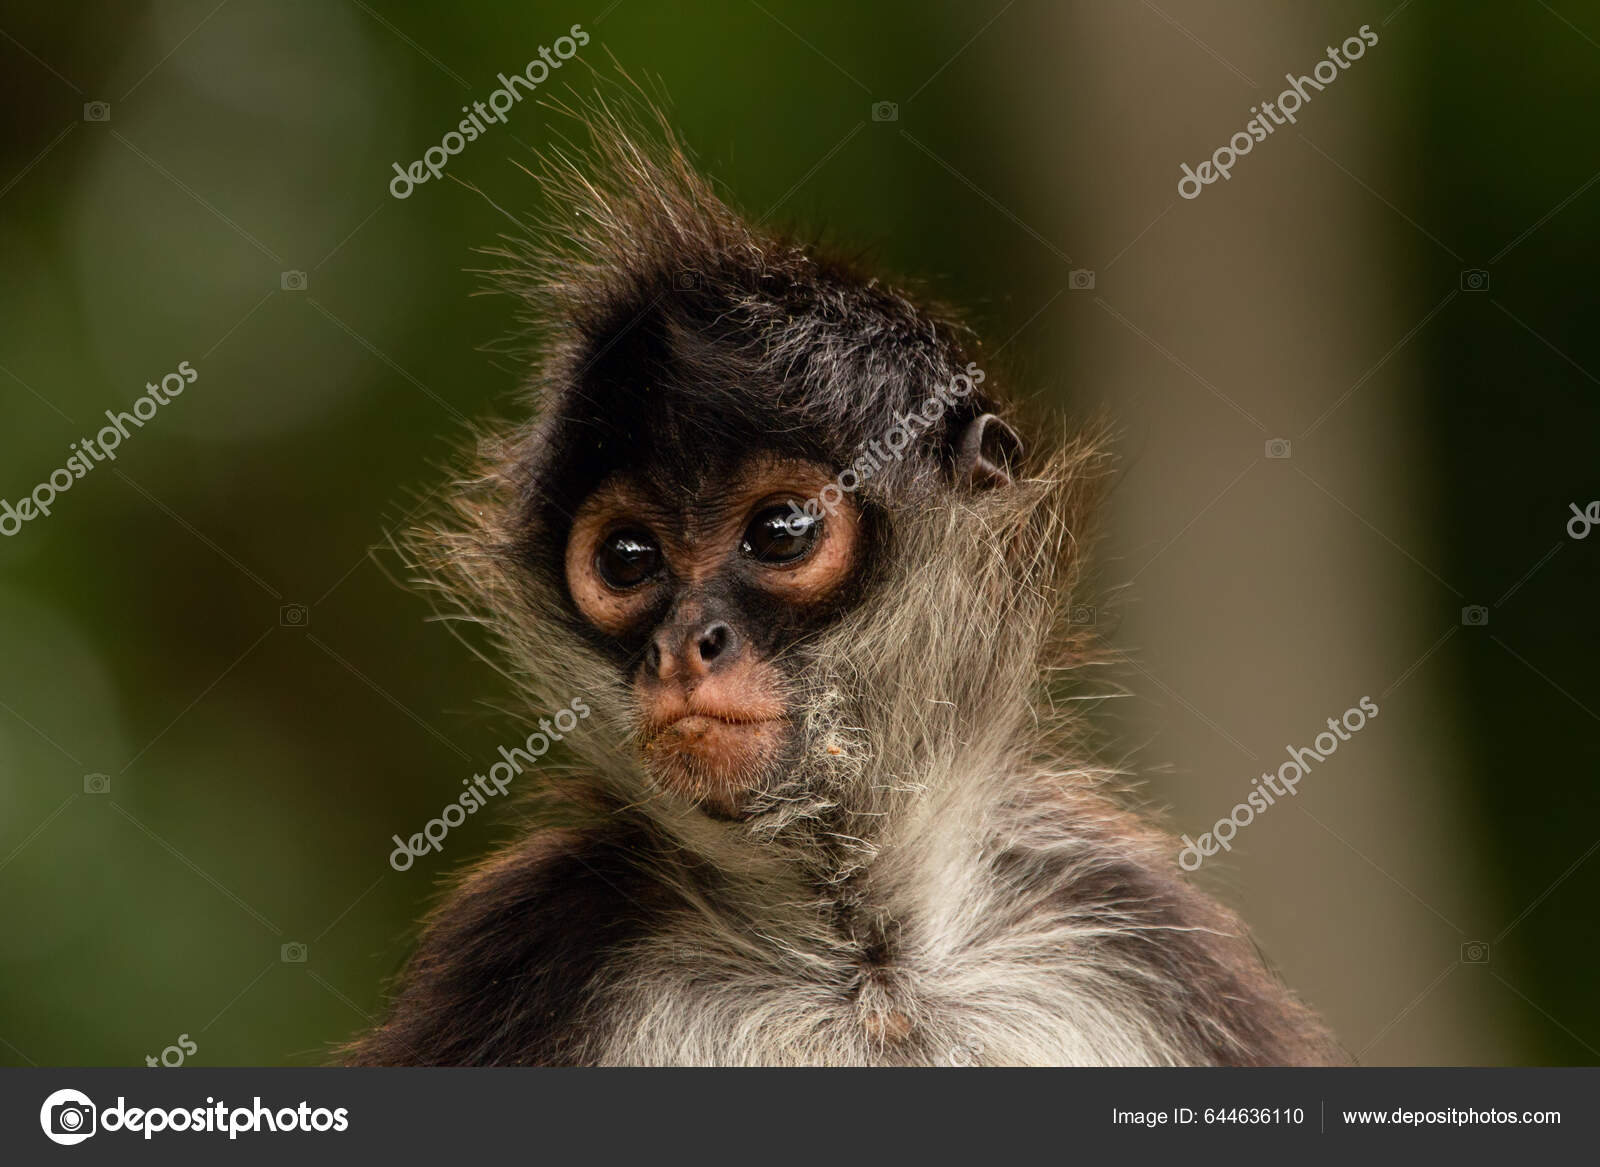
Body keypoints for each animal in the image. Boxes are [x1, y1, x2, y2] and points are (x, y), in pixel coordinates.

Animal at [343, 102, 1345, 1067]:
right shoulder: (536, 935)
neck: (867, 955)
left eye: (781, 531)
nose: (682, 647)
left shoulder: (1135, 937)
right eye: (627, 558)